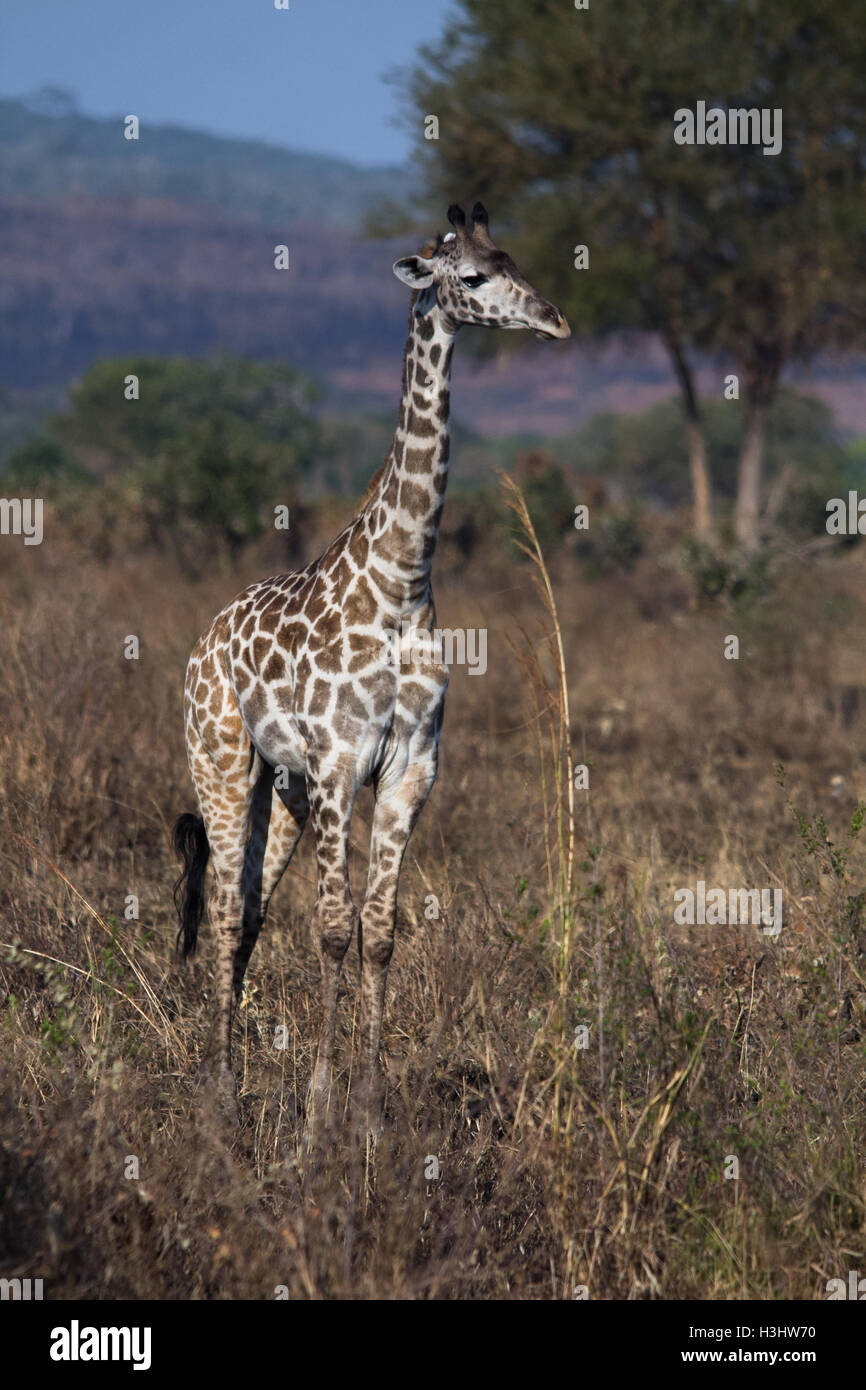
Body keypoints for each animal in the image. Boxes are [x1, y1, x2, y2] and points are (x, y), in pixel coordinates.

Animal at [173, 202, 569, 1123]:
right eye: (472, 276)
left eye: (512, 259)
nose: (554, 321)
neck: (402, 583)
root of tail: (206, 637)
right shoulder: (339, 764)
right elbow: (332, 930)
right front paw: (321, 1107)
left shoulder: (409, 769)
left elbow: (381, 935)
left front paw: (369, 1104)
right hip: (224, 766)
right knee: (223, 911)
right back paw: (219, 1090)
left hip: (283, 790)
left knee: (250, 913)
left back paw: (236, 1079)